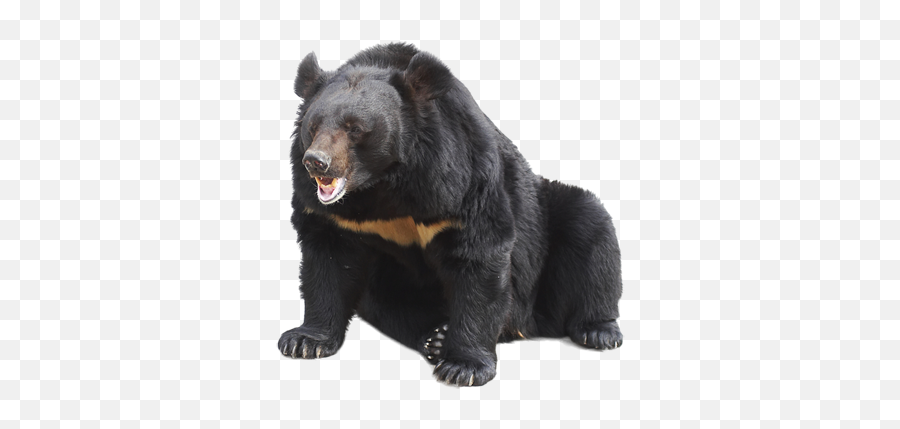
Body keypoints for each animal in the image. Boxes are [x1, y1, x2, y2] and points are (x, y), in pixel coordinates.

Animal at [278, 43, 623, 386]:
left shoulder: (456, 179)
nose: (316, 162)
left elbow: (479, 254)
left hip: (549, 227)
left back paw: (599, 331)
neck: (382, 184)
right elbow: (328, 259)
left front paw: (464, 367)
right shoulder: (335, 214)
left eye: (355, 129)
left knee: (591, 235)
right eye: (313, 127)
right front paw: (304, 341)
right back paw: (435, 338)